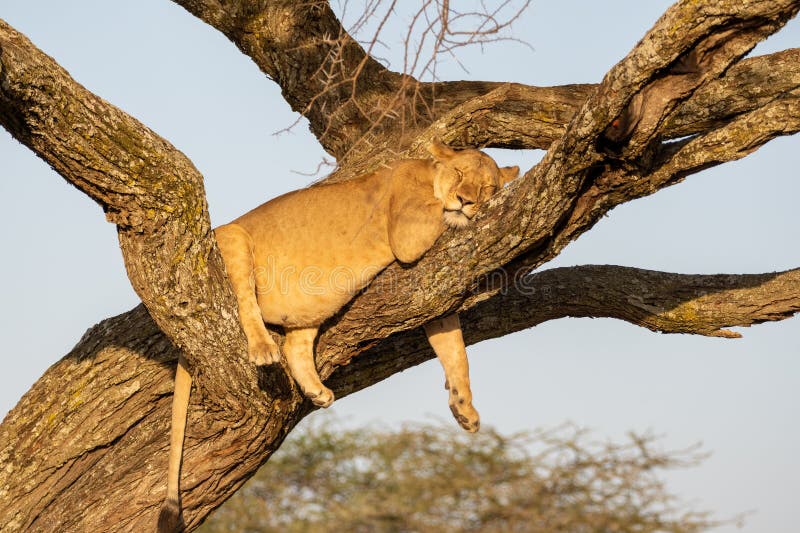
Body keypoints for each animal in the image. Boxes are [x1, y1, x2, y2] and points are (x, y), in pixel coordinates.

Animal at [158, 140, 518, 531]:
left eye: (488, 187)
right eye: (459, 173)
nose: (467, 201)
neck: (428, 176)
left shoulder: (435, 297)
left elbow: (455, 351)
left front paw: (465, 410)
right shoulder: (407, 233)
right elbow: (438, 214)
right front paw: (455, 210)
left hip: (312, 305)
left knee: (296, 346)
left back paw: (316, 390)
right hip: (233, 237)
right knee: (245, 306)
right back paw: (264, 350)